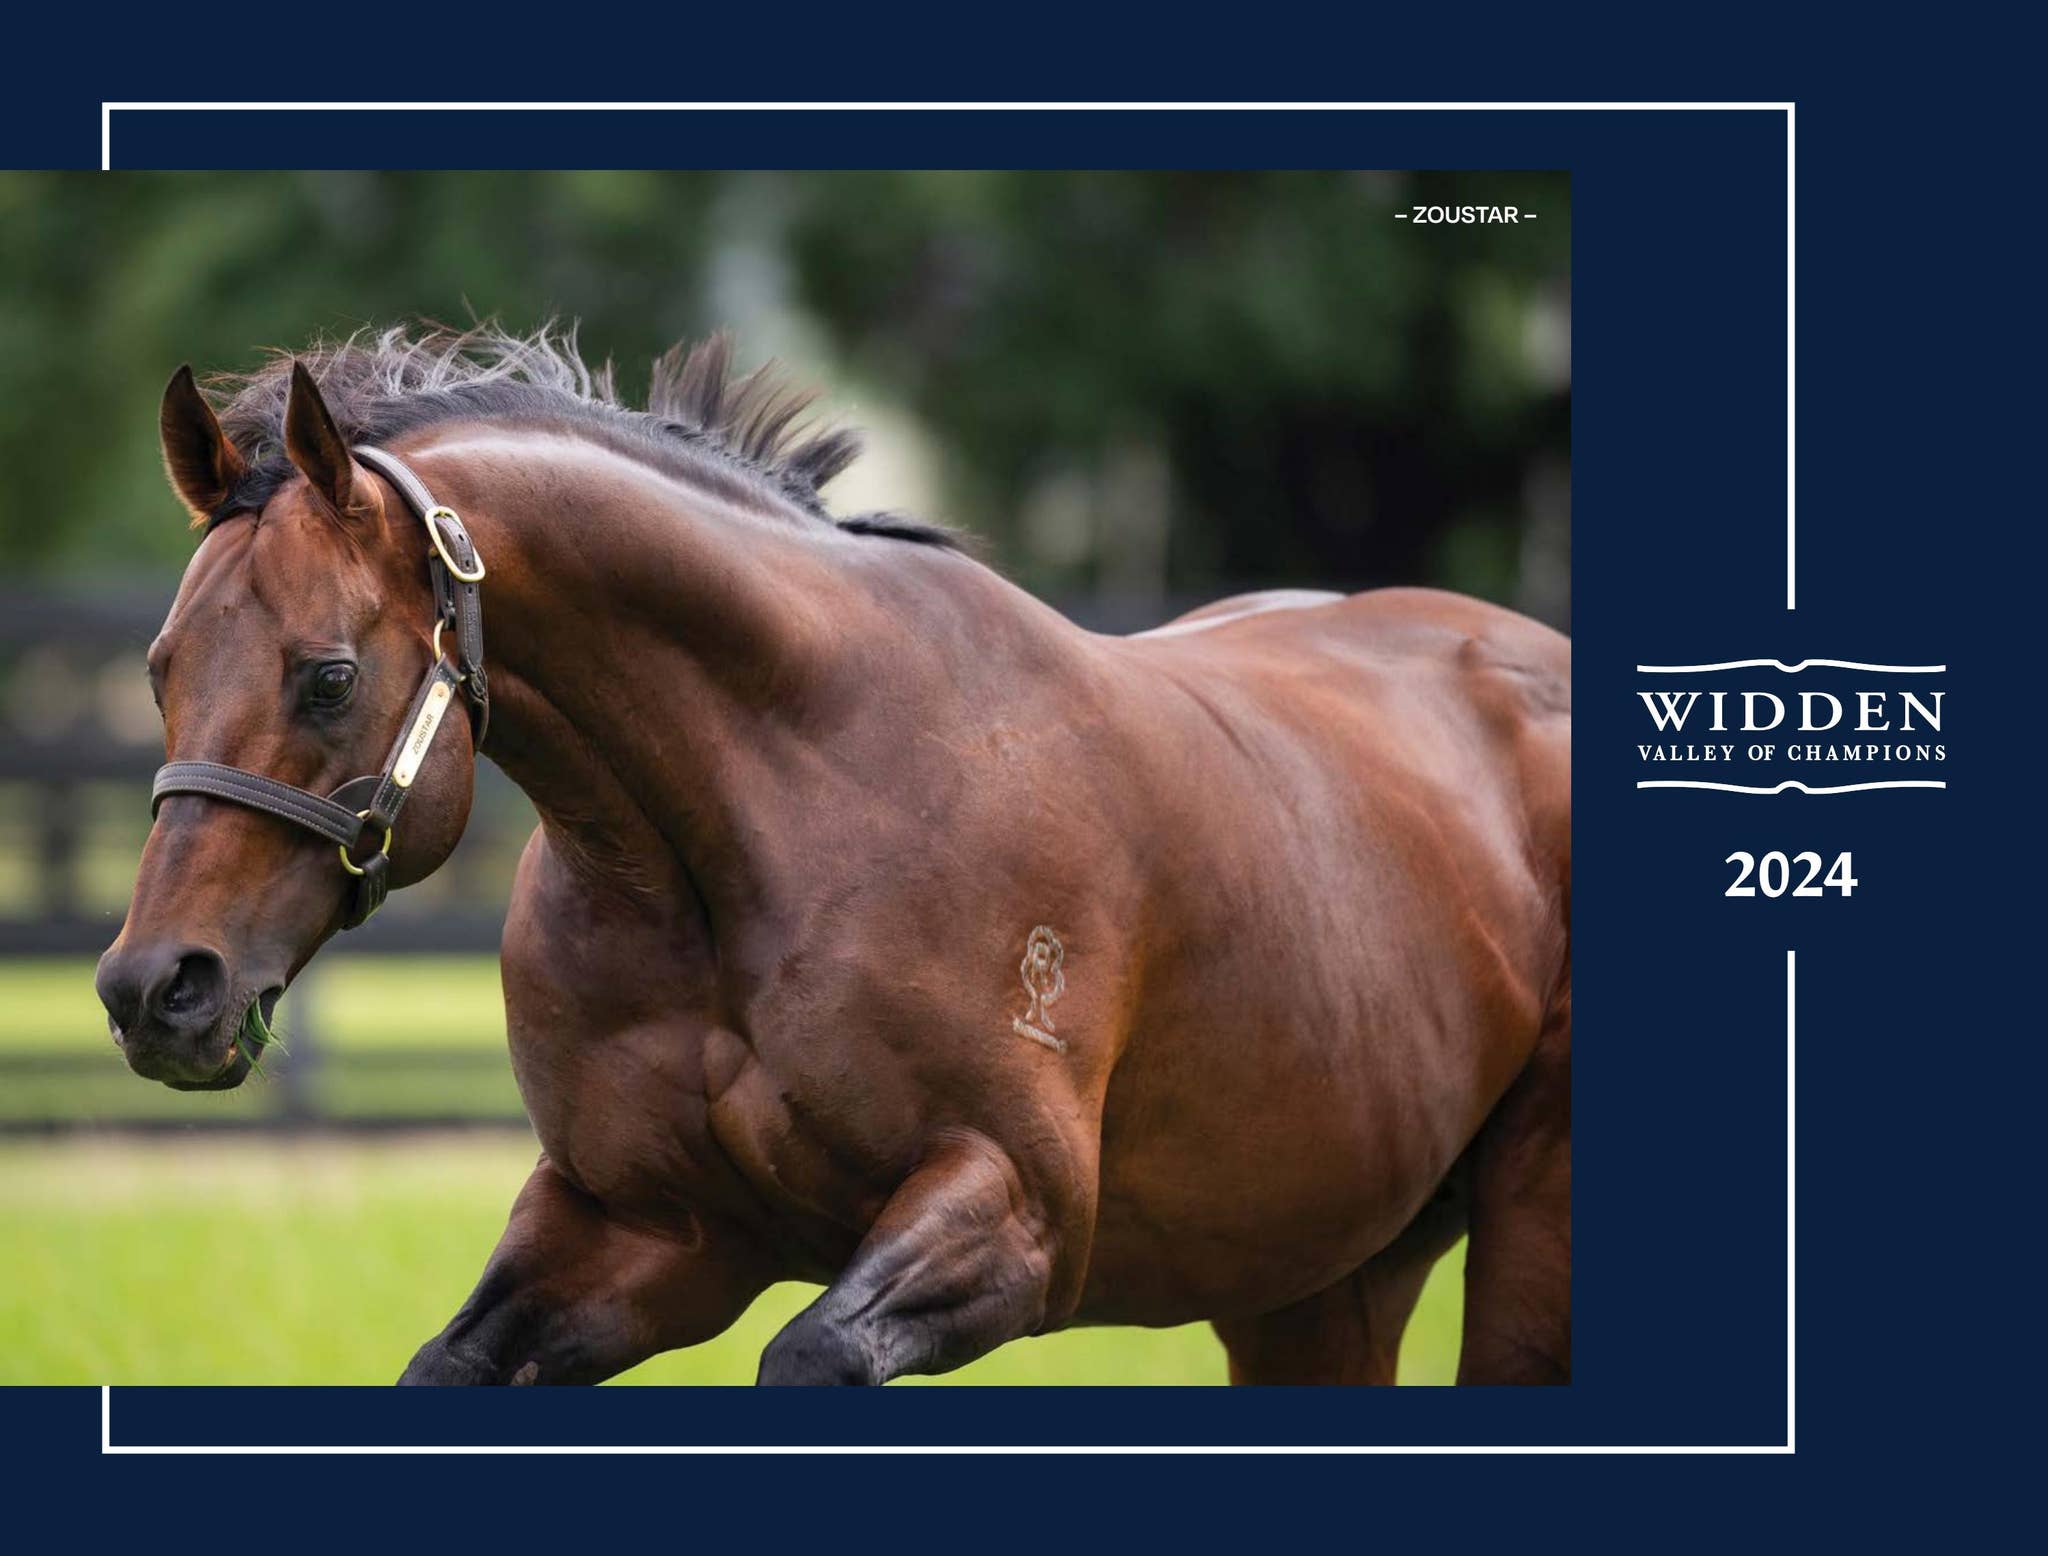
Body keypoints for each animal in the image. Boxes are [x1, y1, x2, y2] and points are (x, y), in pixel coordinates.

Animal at [96, 324, 1571, 1386]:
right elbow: (448, 1365)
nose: (155, 990)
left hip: (1519, 1239)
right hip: (1316, 1279)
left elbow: (808, 1357)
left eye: (329, 677)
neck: (773, 812)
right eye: (161, 666)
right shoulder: (642, 1233)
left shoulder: (1012, 1214)